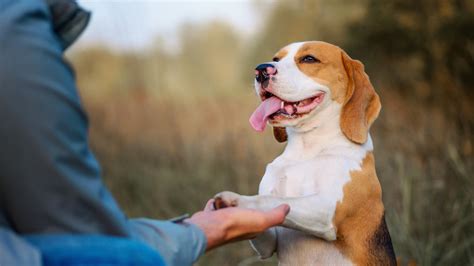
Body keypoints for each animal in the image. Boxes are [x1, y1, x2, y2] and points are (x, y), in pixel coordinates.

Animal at [215, 40, 396, 264]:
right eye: (276, 59)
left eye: (309, 59)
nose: (260, 70)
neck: (307, 149)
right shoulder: (269, 243)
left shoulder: (327, 209)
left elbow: (272, 200)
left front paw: (237, 200)